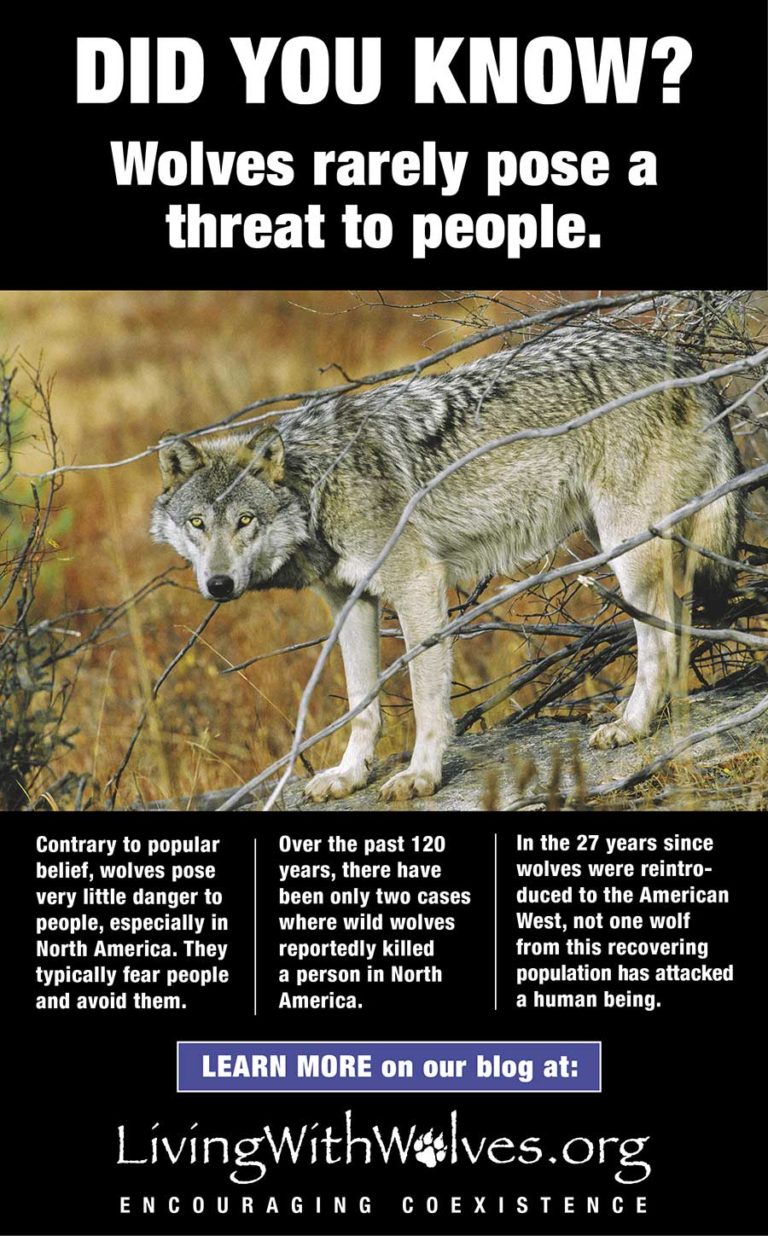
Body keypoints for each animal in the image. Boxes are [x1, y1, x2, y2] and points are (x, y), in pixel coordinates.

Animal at [150, 325, 743, 802]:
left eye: (245, 520)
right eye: (197, 523)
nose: (218, 584)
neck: (317, 483)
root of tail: (687, 362)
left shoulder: (417, 586)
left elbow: (424, 697)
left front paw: (420, 776)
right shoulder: (352, 603)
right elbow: (362, 703)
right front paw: (349, 776)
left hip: (626, 553)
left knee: (659, 644)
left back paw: (632, 726)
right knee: (681, 630)